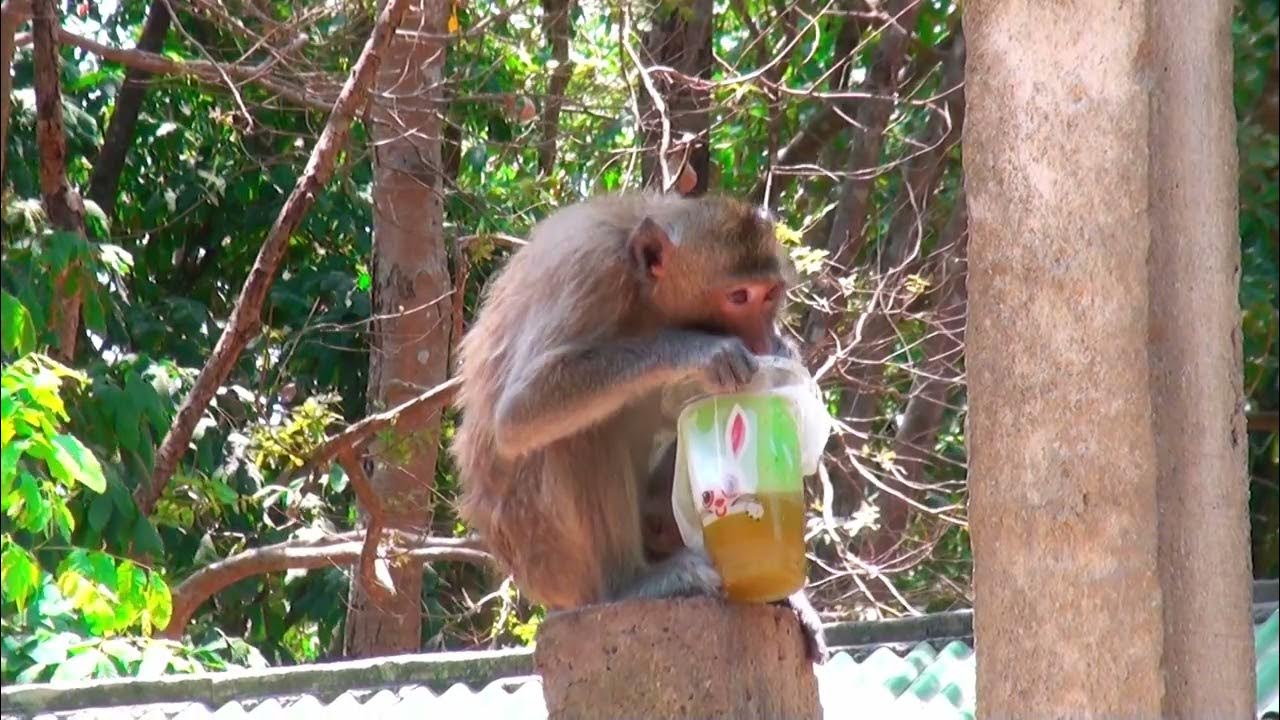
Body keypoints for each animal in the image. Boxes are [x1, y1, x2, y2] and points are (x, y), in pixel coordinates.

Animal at [452, 191, 825, 661]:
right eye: (739, 296)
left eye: (769, 294)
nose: (760, 340)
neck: (650, 299)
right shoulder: (591, 272)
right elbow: (520, 412)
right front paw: (698, 351)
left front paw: (781, 353)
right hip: (545, 548)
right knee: (582, 431)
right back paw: (629, 583)